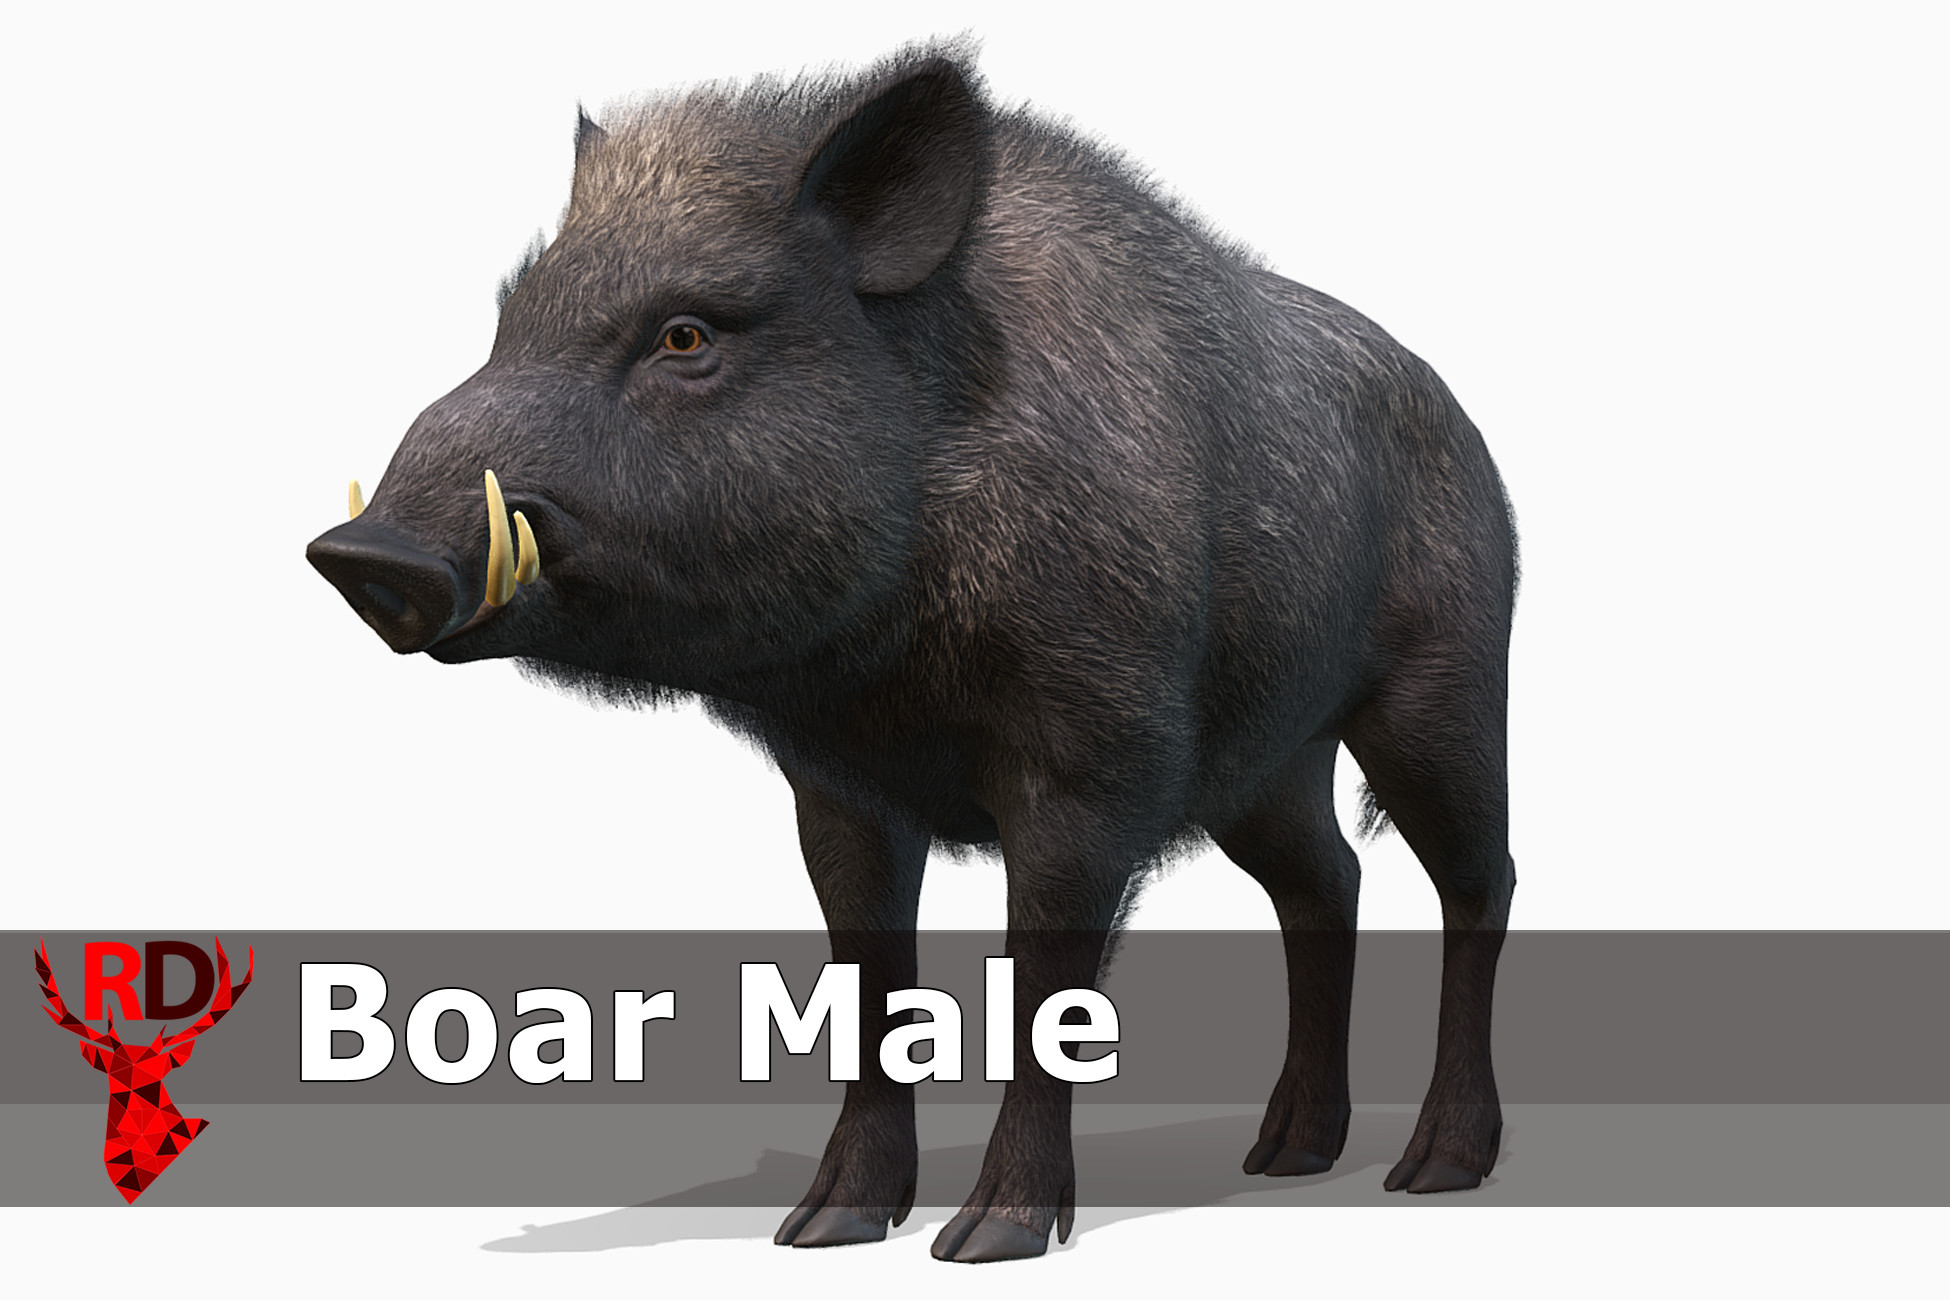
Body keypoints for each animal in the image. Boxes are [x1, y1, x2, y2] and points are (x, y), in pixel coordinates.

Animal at [307, 41, 1518, 1262]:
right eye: (511, 319)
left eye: (687, 335)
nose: (363, 552)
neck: (890, 663)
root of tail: (1466, 426)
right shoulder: (837, 783)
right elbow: (871, 975)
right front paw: (822, 1227)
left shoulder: (1092, 757)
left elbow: (1046, 984)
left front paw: (985, 1239)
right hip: (1269, 764)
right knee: (1328, 881)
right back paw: (1283, 1157)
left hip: (1446, 688)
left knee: (1477, 878)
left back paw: (1433, 1170)